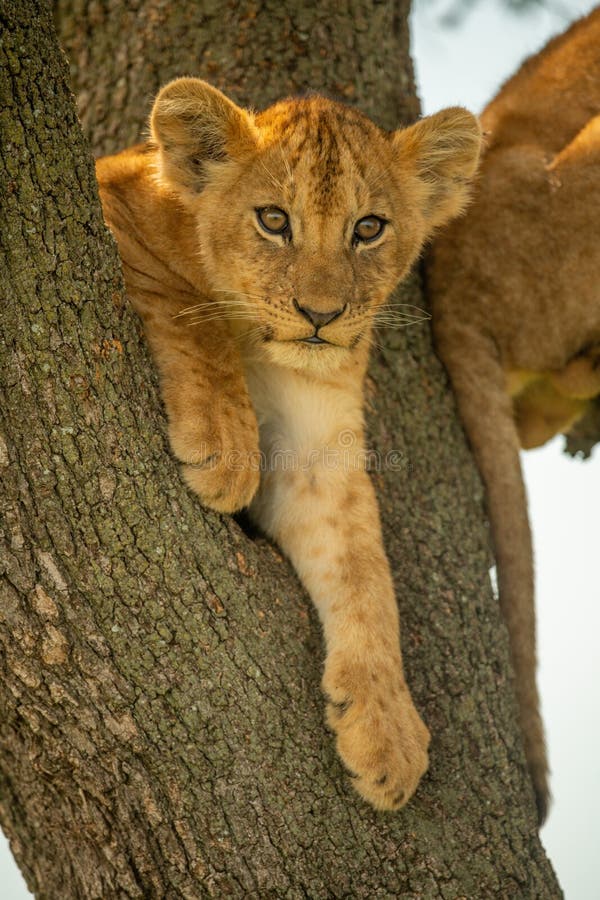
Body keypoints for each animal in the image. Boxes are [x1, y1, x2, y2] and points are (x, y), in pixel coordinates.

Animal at [96, 78, 481, 811]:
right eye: (274, 220)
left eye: (368, 229)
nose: (321, 316)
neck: (263, 343)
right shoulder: (108, 198)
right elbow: (184, 301)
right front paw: (226, 447)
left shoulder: (317, 450)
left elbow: (364, 571)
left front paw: (387, 731)